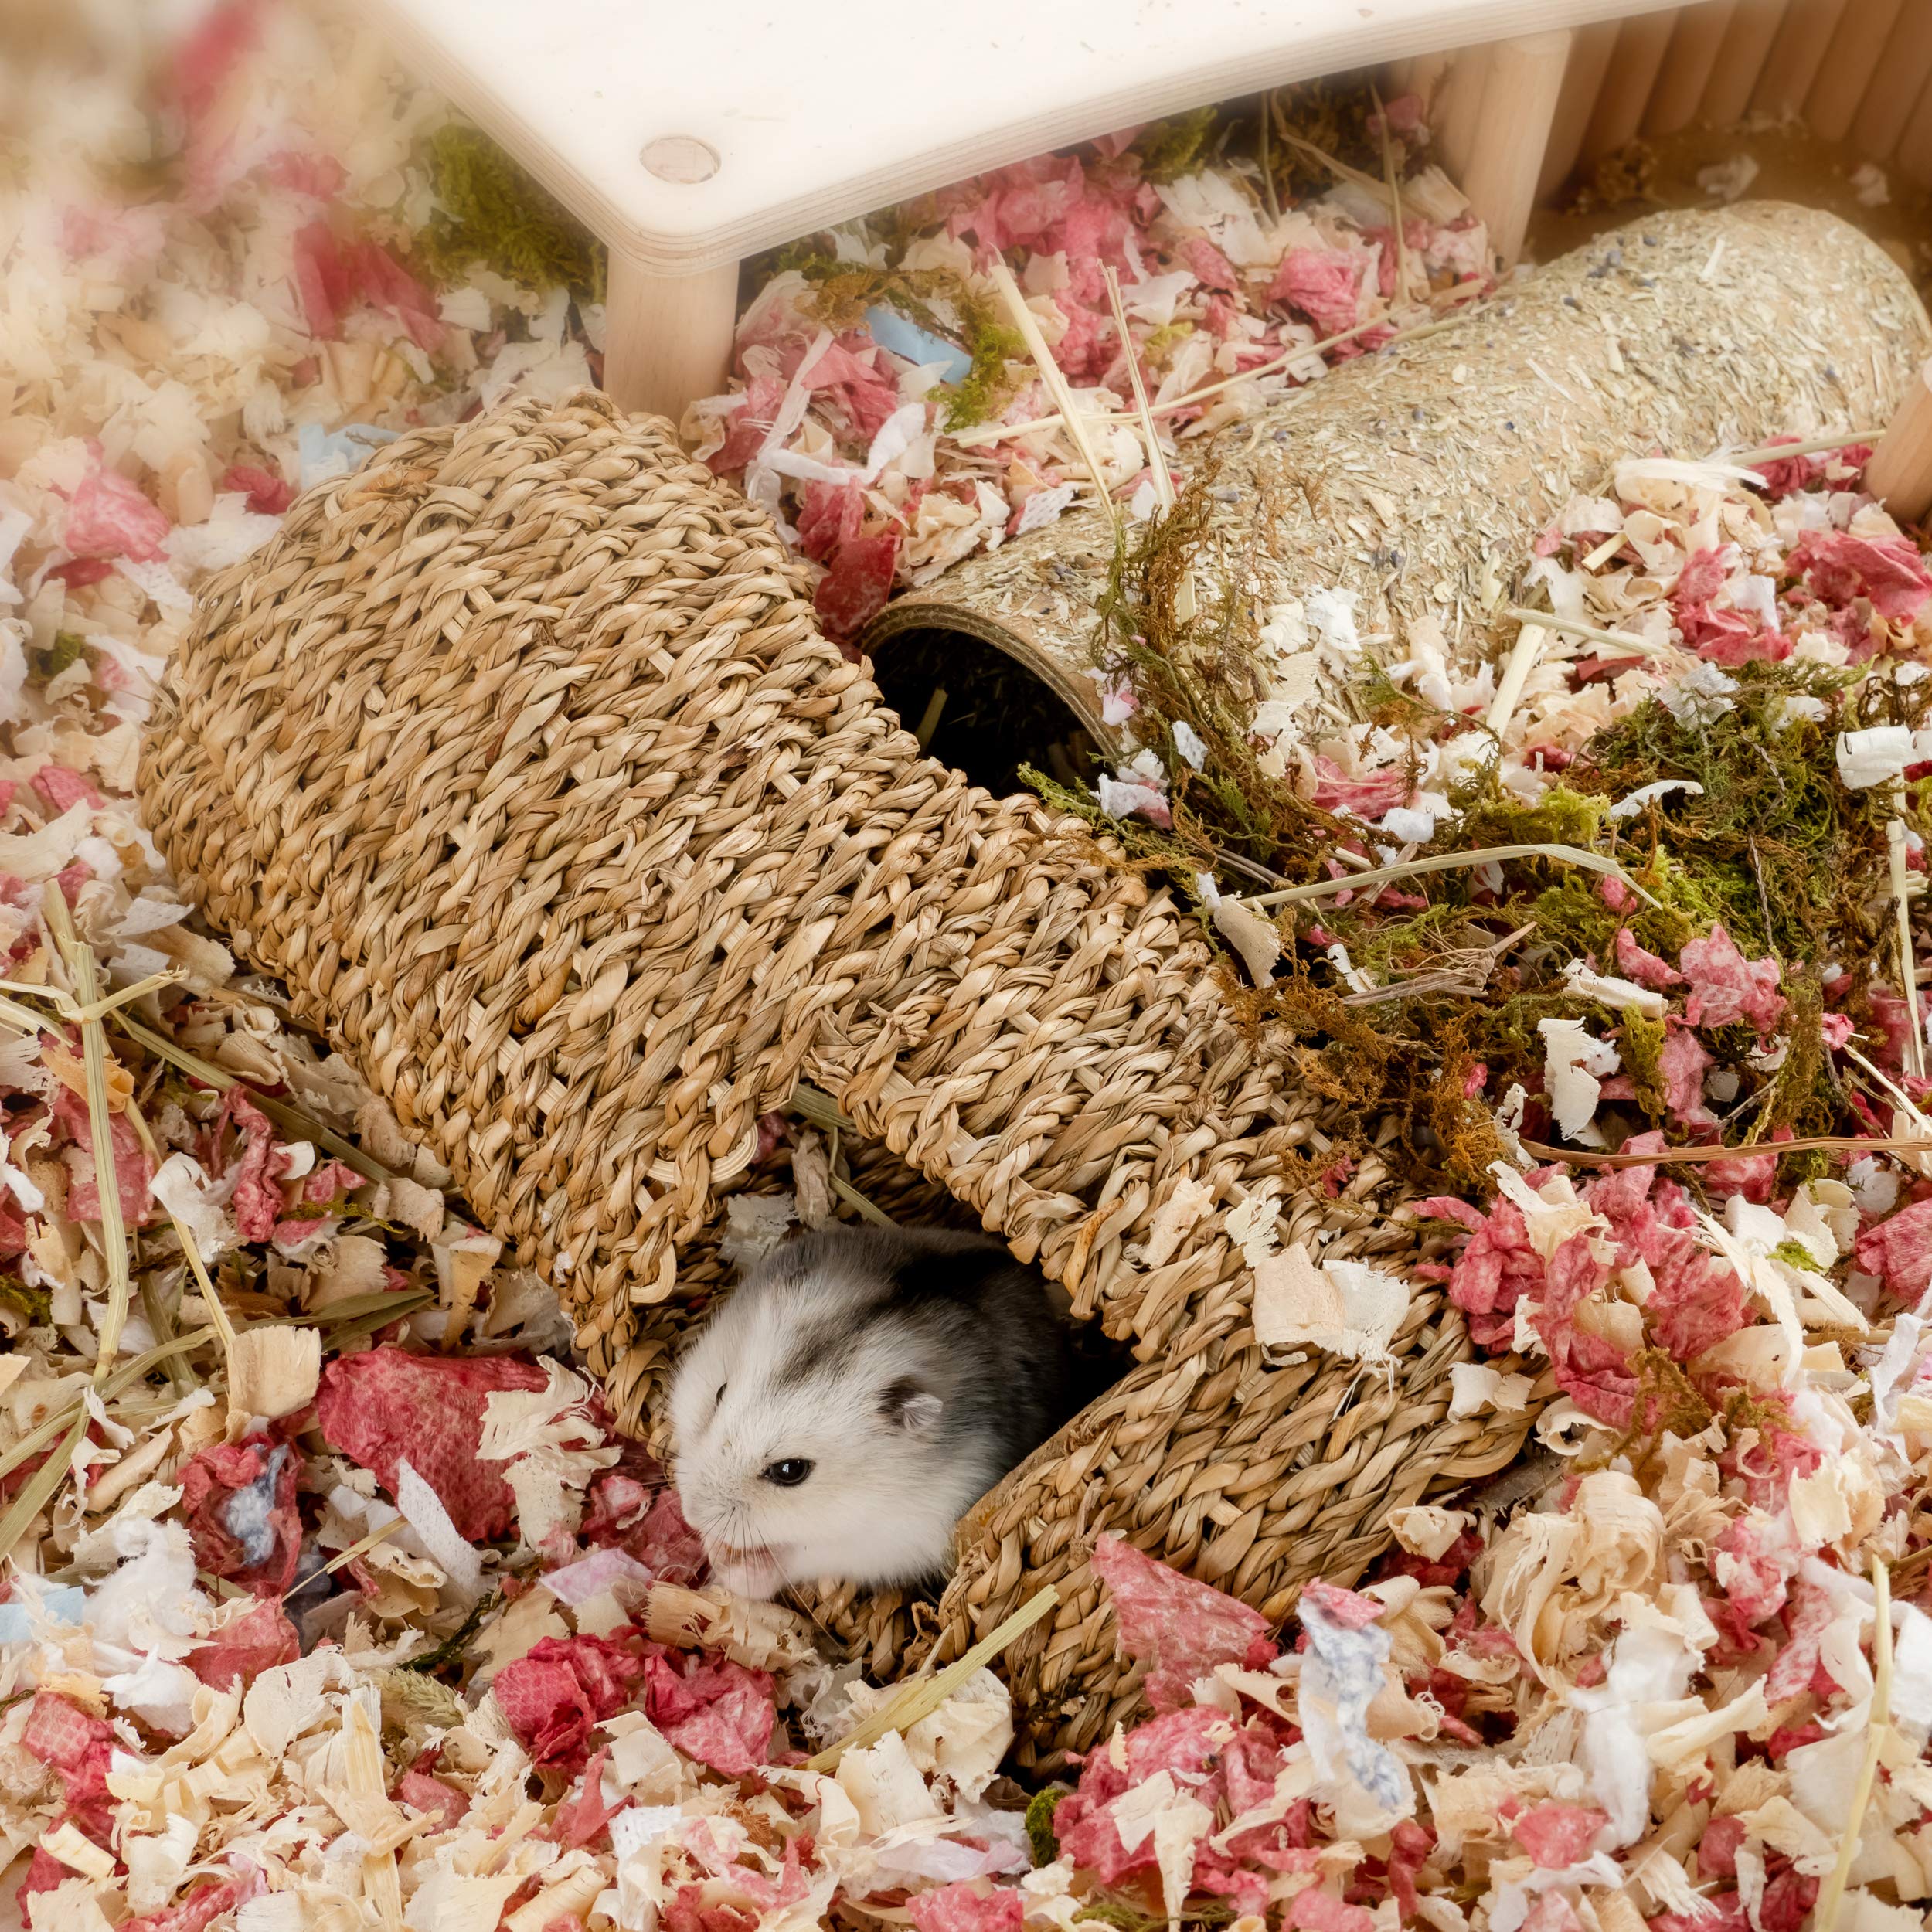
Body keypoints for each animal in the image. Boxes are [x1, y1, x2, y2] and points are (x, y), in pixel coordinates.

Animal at [670, 1225, 1073, 1601]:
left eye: (791, 1471)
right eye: (719, 1393)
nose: (690, 1515)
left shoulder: (891, 1540)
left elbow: (801, 1555)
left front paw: (725, 1563)